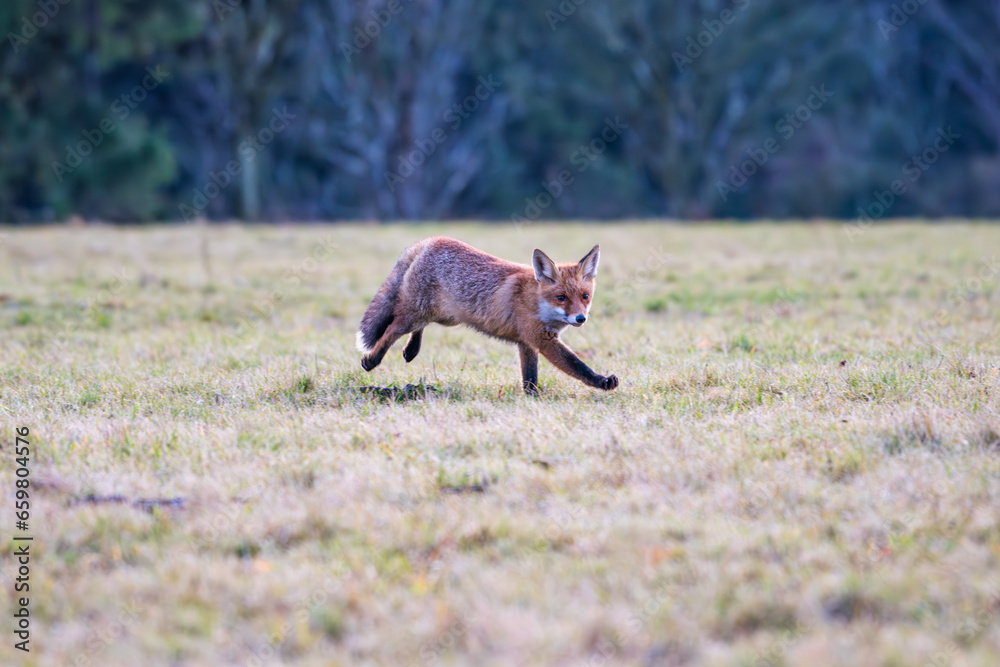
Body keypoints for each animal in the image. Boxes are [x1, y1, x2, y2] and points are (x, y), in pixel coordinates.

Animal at [356, 237, 619, 395]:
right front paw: (602, 381)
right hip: (416, 313)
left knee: (416, 328)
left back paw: (411, 351)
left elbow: (530, 376)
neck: (536, 301)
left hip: (444, 317)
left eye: (585, 296)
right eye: (561, 297)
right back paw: (372, 360)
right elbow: (577, 365)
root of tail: (430, 240)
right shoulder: (541, 339)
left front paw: (532, 397)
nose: (580, 319)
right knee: (392, 329)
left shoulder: (527, 343)